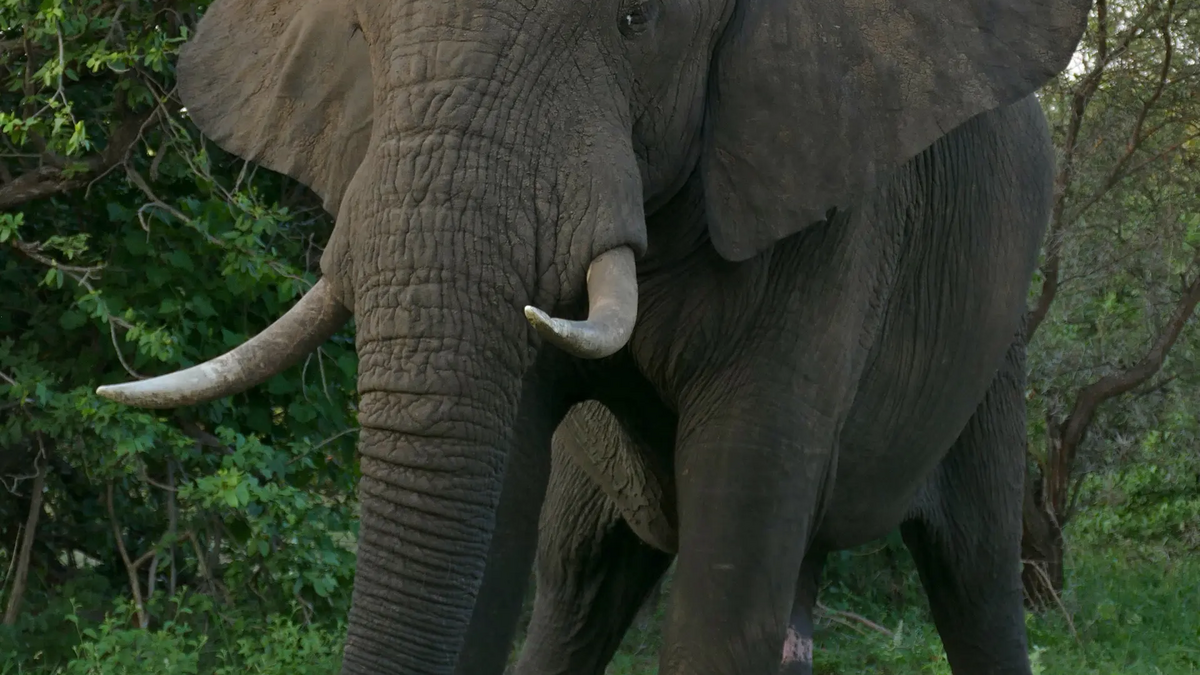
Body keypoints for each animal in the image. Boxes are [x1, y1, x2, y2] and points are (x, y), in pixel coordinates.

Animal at [93, 0, 1094, 669]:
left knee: (976, 580)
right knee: (576, 587)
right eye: (360, 32)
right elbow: (495, 539)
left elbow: (726, 588)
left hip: (995, 358)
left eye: (635, 18)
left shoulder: (828, 198)